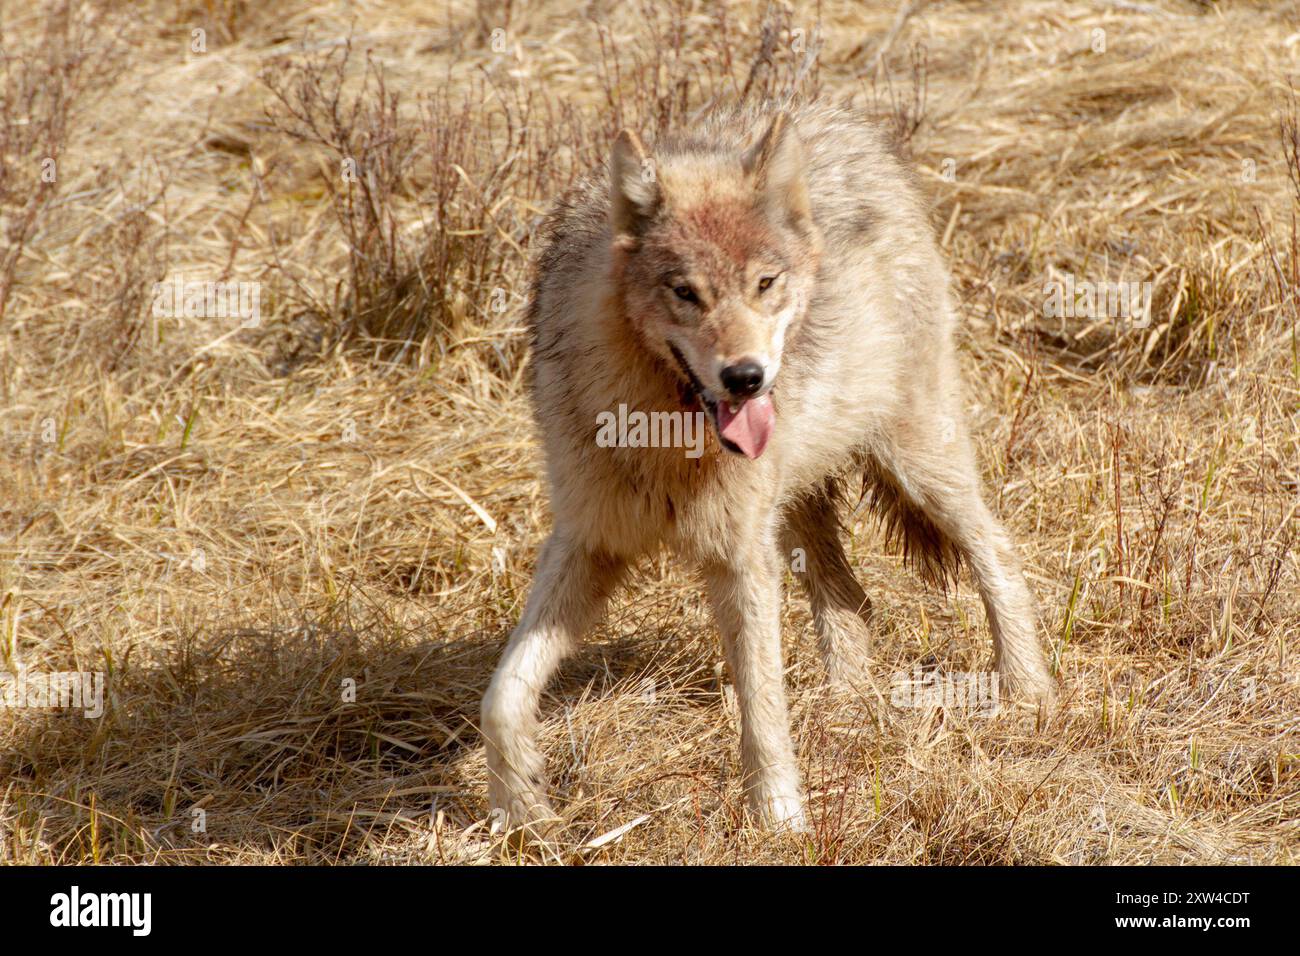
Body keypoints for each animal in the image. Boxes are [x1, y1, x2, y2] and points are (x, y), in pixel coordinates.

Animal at [481, 102, 1056, 833]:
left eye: (764, 283)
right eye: (685, 293)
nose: (746, 377)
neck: (665, 432)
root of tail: (848, 126)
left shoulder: (739, 557)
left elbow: (761, 705)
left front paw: (781, 820)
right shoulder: (590, 540)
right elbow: (502, 697)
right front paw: (521, 810)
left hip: (919, 466)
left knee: (998, 550)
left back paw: (1028, 691)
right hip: (797, 508)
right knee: (853, 601)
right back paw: (847, 704)